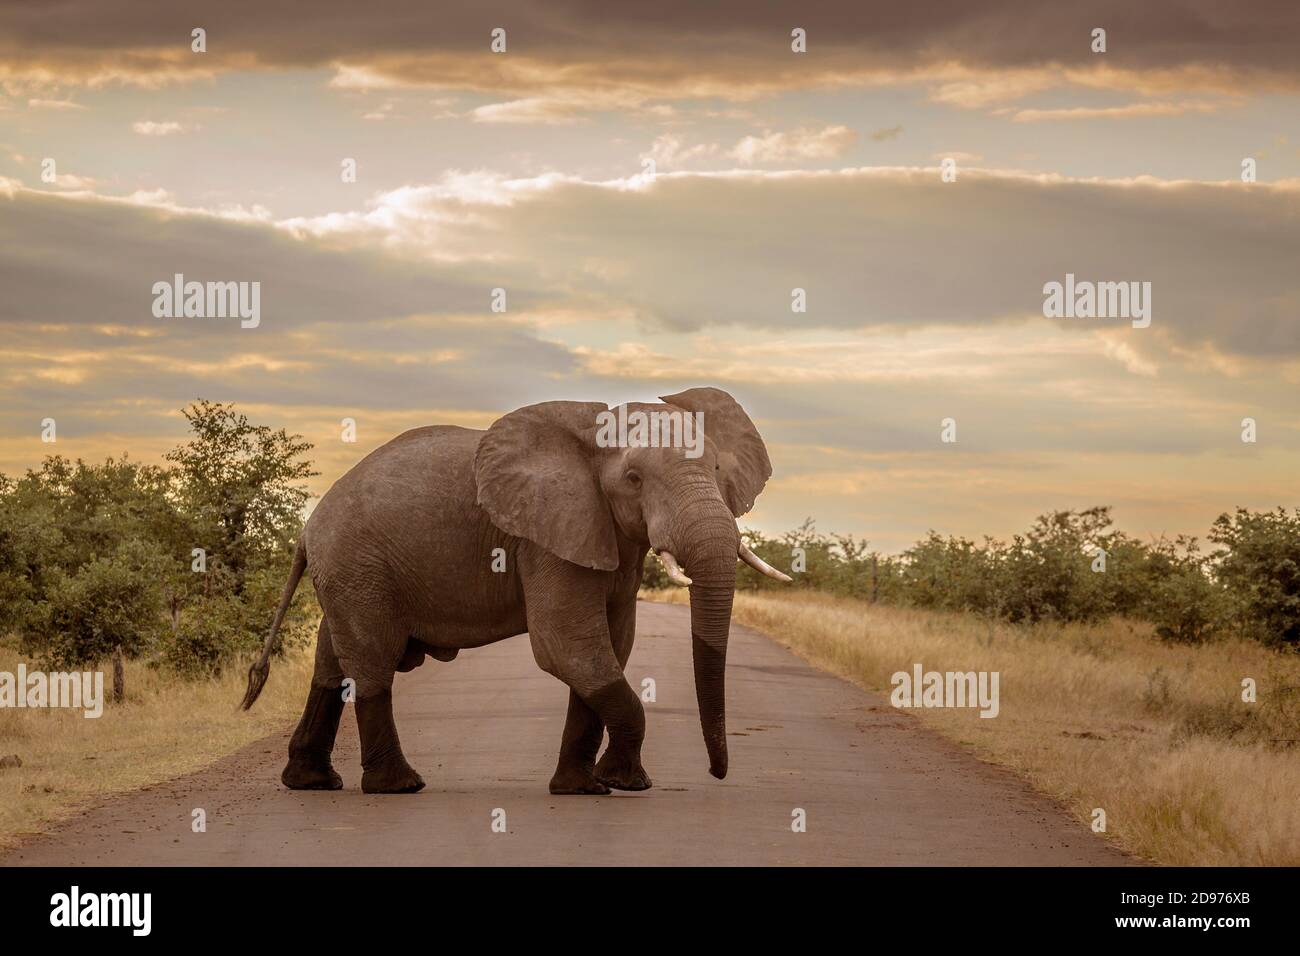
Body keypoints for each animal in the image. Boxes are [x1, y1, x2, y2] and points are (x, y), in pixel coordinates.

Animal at [239, 386, 791, 794]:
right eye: (634, 478)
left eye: (717, 471)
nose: (718, 773)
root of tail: (307, 529)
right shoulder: (544, 538)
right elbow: (566, 644)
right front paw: (624, 784)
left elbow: (611, 645)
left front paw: (584, 789)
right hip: (357, 564)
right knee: (371, 658)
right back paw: (398, 786)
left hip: (349, 572)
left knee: (332, 658)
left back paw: (312, 781)